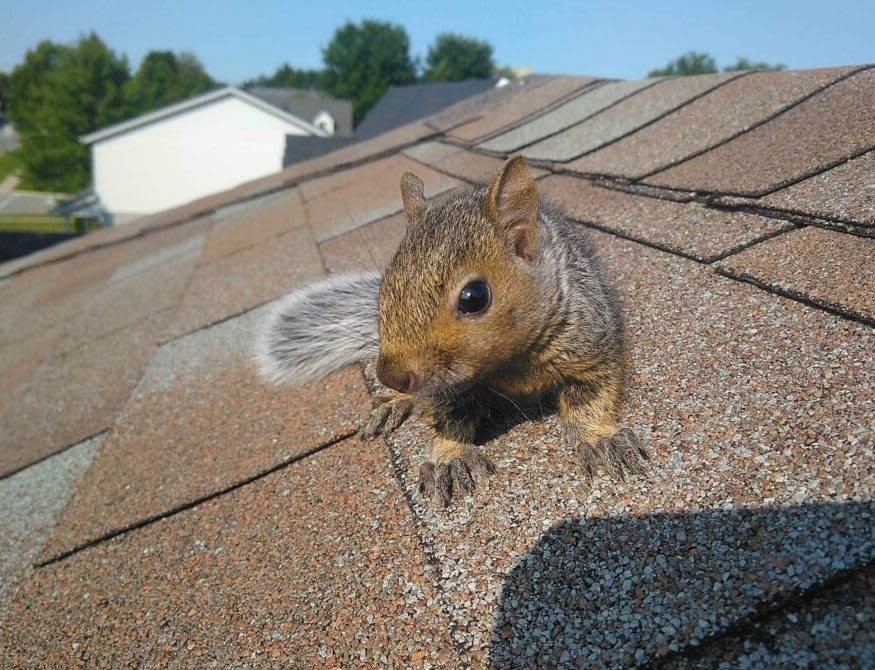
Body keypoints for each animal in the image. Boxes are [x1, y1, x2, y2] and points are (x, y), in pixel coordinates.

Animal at [257, 156, 648, 506]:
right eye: (384, 287)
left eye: (475, 297)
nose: (390, 376)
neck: (510, 362)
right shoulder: (447, 388)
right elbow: (448, 416)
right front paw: (450, 457)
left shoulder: (590, 345)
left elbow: (590, 396)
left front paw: (600, 439)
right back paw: (395, 403)